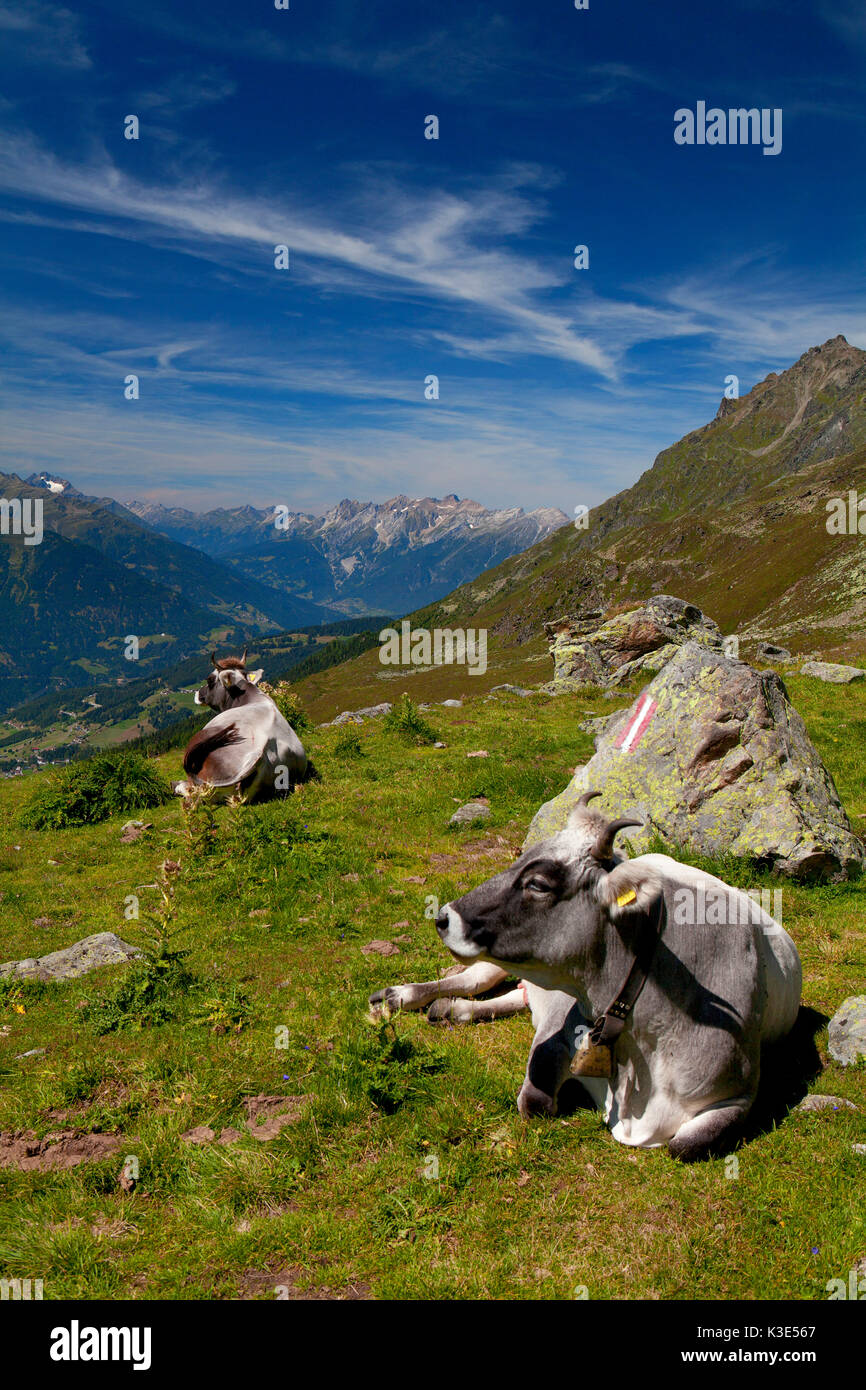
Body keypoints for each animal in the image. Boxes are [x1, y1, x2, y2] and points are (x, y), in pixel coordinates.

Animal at [369, 791, 802, 1160]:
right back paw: (396, 997)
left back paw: (451, 1010)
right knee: (474, 979)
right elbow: (534, 1101)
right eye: (520, 858)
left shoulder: (738, 1094)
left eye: (538, 883)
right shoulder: (564, 1021)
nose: (444, 917)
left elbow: (686, 1144)